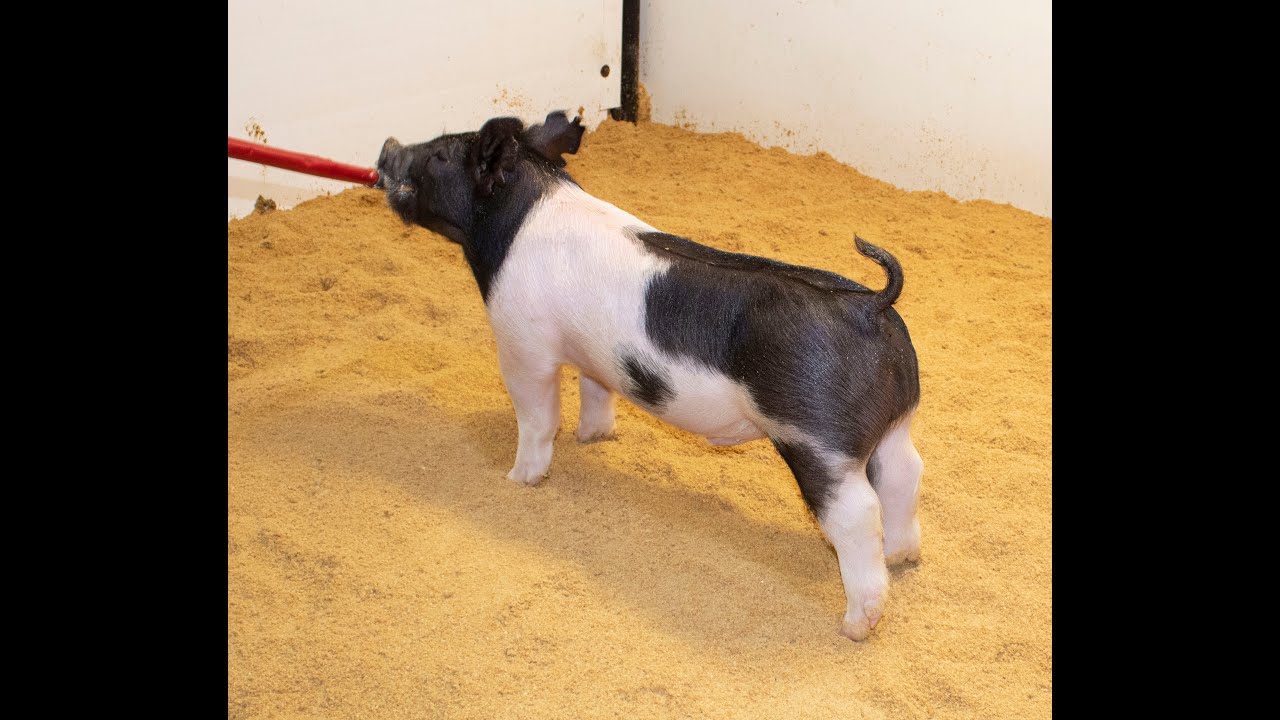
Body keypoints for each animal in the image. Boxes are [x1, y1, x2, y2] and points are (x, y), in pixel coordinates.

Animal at [374, 111, 923, 642]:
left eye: (442, 154)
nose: (387, 145)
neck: (518, 218)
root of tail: (869, 305)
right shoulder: (595, 355)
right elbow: (595, 389)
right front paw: (593, 437)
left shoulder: (522, 344)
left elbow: (536, 418)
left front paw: (518, 479)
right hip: (895, 421)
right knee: (905, 473)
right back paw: (904, 557)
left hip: (816, 439)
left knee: (859, 513)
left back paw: (856, 626)